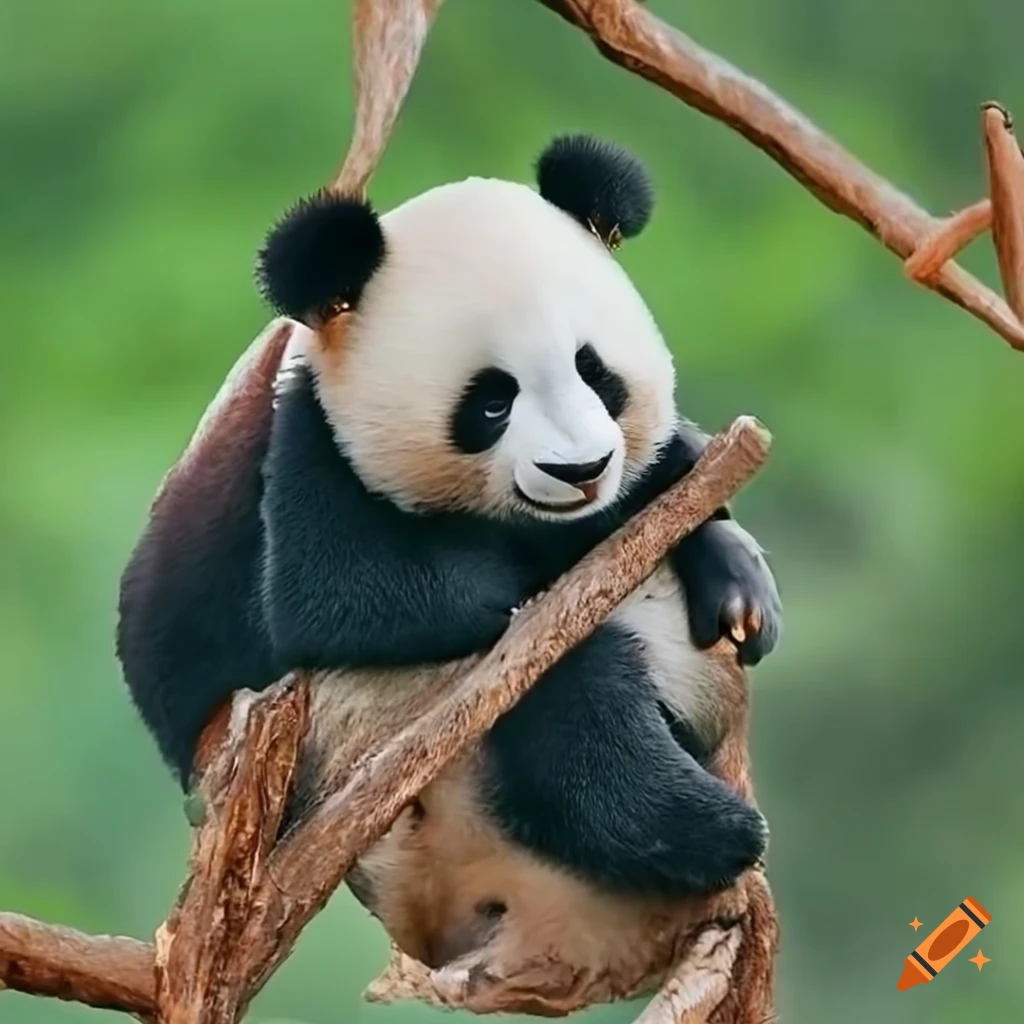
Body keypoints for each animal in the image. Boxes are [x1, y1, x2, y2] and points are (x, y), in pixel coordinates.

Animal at [116, 136, 782, 952]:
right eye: (492, 402)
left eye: (594, 372)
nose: (581, 471)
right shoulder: (312, 442)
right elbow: (339, 595)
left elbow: (679, 473)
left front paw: (736, 583)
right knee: (566, 689)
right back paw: (700, 829)